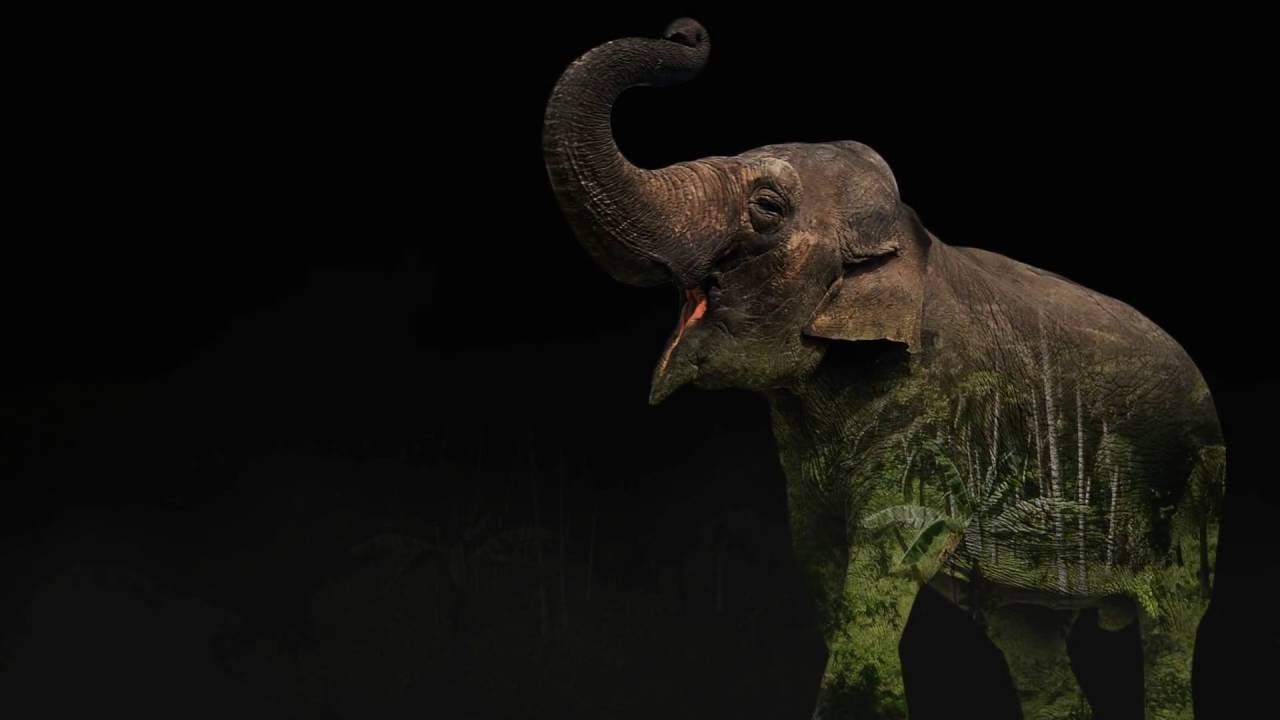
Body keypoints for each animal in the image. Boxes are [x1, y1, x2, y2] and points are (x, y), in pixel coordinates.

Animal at [543, 18, 1224, 720]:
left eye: (767, 207)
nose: (686, 32)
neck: (908, 241)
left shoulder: (932, 408)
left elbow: (887, 554)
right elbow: (819, 555)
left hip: (1195, 495)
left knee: (1170, 622)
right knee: (1026, 634)